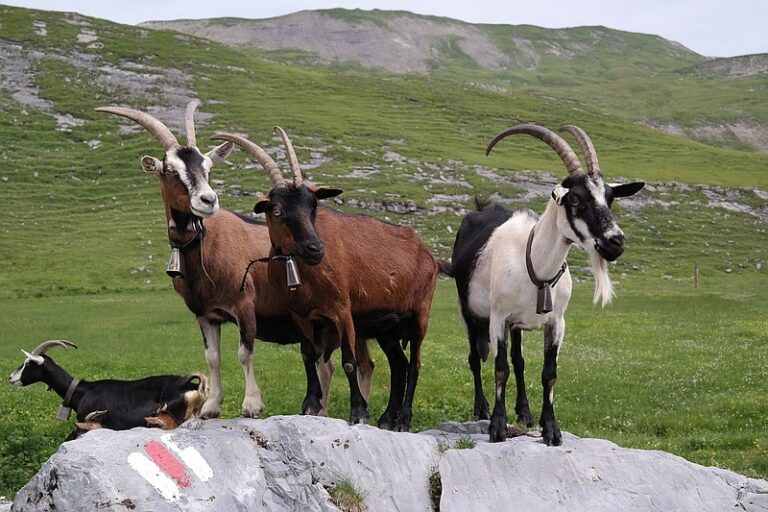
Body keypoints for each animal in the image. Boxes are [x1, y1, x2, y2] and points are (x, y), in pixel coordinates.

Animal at [96, 102, 397, 419]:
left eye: (208, 167)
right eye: (169, 170)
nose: (208, 200)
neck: (208, 248)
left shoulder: (244, 306)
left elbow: (244, 352)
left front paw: (252, 404)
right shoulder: (205, 314)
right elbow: (212, 357)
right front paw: (211, 406)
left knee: (358, 364)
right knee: (341, 364)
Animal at [211, 128, 439, 430]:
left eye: (314, 206)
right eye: (277, 210)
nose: (315, 249)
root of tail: (427, 253)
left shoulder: (343, 310)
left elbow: (350, 362)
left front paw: (358, 412)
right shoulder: (300, 314)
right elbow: (308, 354)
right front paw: (310, 405)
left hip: (419, 314)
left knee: (414, 365)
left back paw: (402, 419)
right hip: (387, 326)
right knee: (398, 364)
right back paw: (387, 418)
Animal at [440, 124, 644, 445]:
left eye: (609, 197)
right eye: (575, 199)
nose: (615, 242)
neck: (535, 265)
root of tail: (480, 208)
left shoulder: (556, 322)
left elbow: (548, 373)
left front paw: (551, 430)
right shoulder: (498, 318)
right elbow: (500, 369)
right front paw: (497, 427)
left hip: (517, 324)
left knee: (519, 361)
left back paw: (524, 412)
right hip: (469, 311)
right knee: (475, 358)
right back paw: (481, 409)